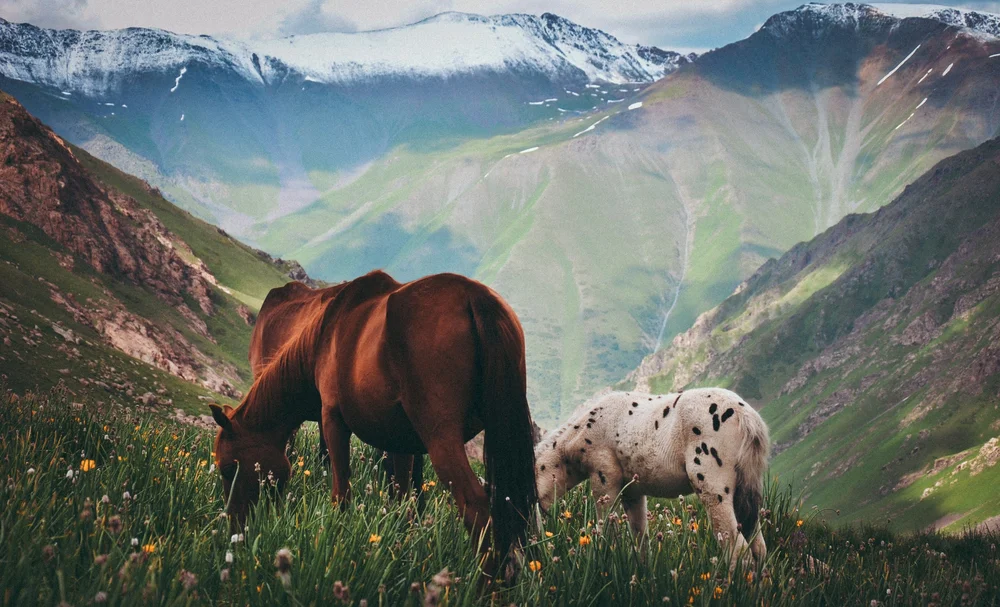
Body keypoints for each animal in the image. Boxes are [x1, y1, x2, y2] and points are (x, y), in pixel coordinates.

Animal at [534, 388, 769, 566]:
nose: (535, 540)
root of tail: (747, 418)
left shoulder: (604, 477)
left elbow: (606, 527)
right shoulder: (632, 492)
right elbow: (641, 539)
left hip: (712, 485)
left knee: (738, 549)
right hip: (744, 491)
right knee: (759, 548)